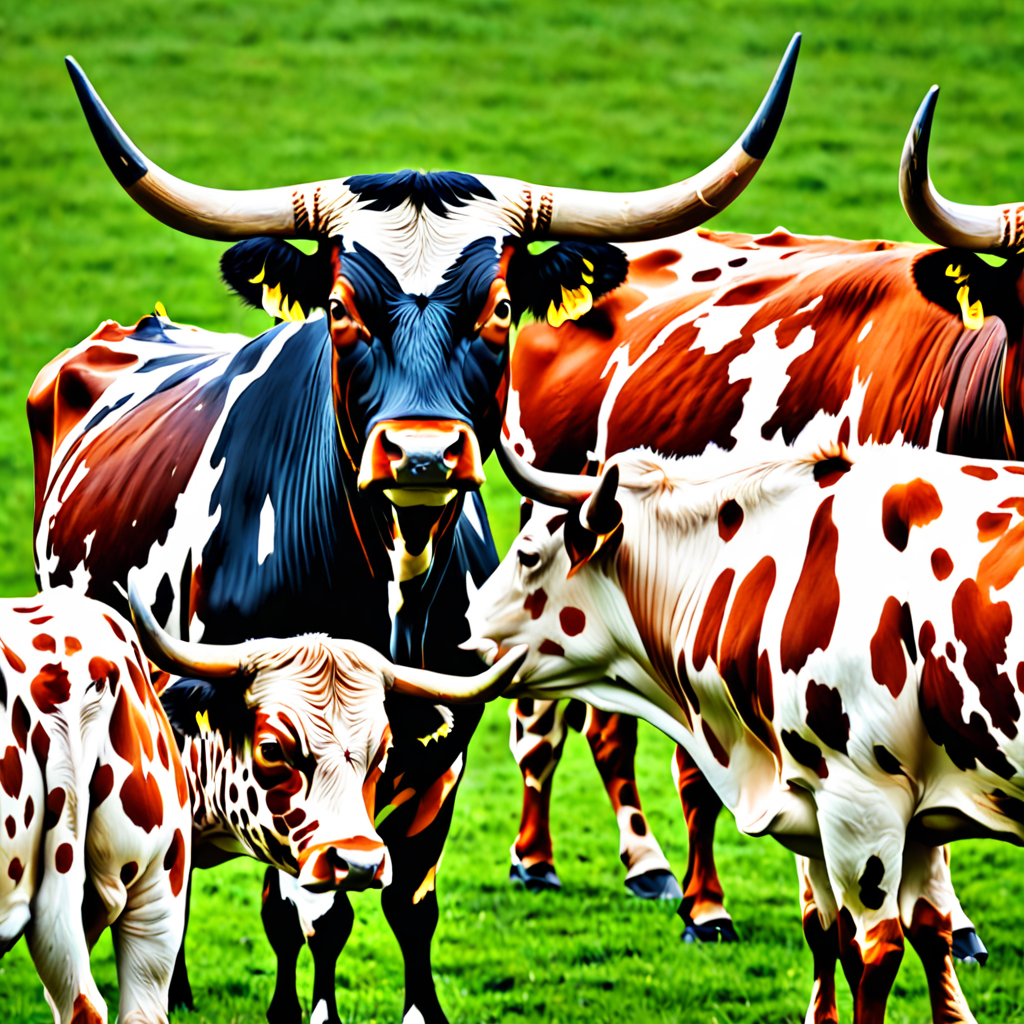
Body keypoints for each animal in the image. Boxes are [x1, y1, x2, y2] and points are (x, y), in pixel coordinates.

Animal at [32, 40, 800, 1024]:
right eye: (340, 308)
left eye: (502, 308)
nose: (424, 453)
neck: (391, 578)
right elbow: (309, 912)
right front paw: (301, 1009)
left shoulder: (441, 748)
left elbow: (410, 900)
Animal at [469, 436, 1024, 1024]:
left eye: (527, 554)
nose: (466, 623)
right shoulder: (889, 808)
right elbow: (910, 930)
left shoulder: (861, 800)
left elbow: (872, 953)